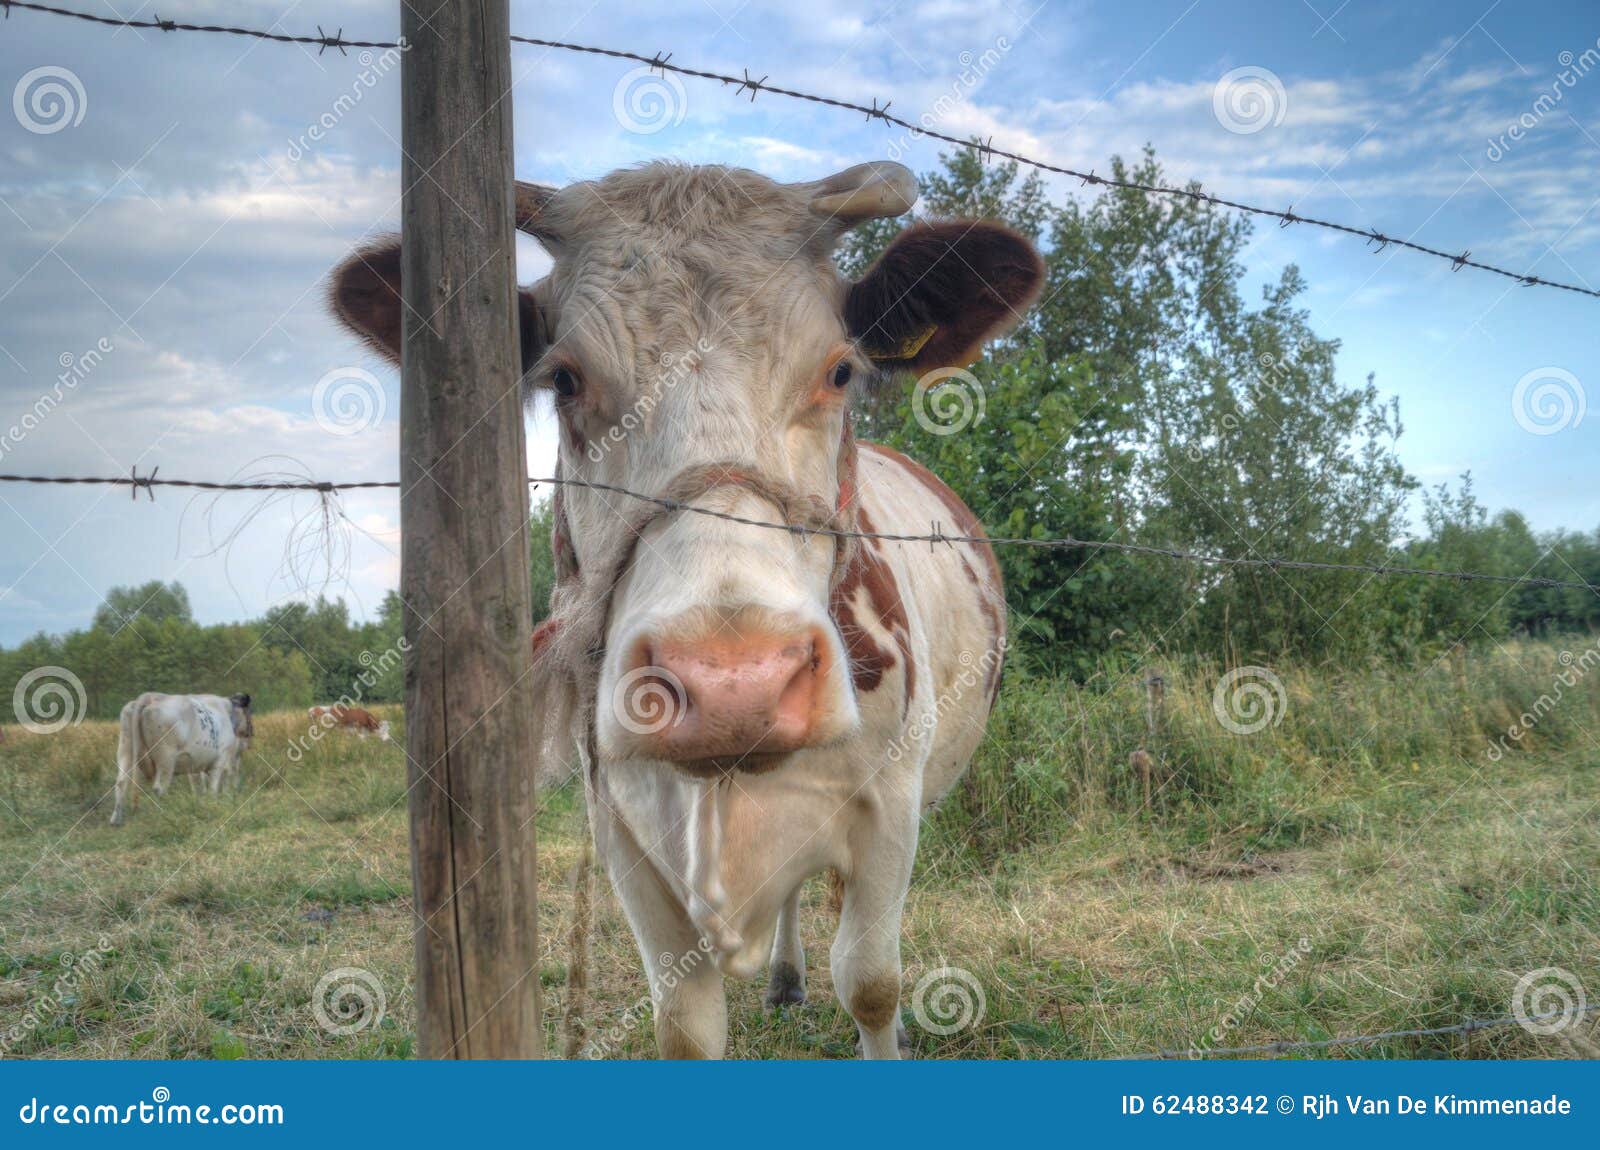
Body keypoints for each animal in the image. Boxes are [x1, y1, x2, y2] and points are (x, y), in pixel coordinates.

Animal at [110, 693, 253, 826]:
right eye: (248, 712)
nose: (251, 732)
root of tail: (150, 696)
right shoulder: (221, 759)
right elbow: (214, 787)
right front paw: (214, 804)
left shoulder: (197, 764)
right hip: (166, 758)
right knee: (159, 787)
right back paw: (163, 815)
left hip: (125, 749)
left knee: (121, 783)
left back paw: (116, 820)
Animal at [329, 161, 1041, 1058]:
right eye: (565, 378)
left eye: (840, 371)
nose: (735, 681)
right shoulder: (622, 833)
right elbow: (686, 1024)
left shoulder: (891, 807)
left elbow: (872, 984)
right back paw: (784, 976)